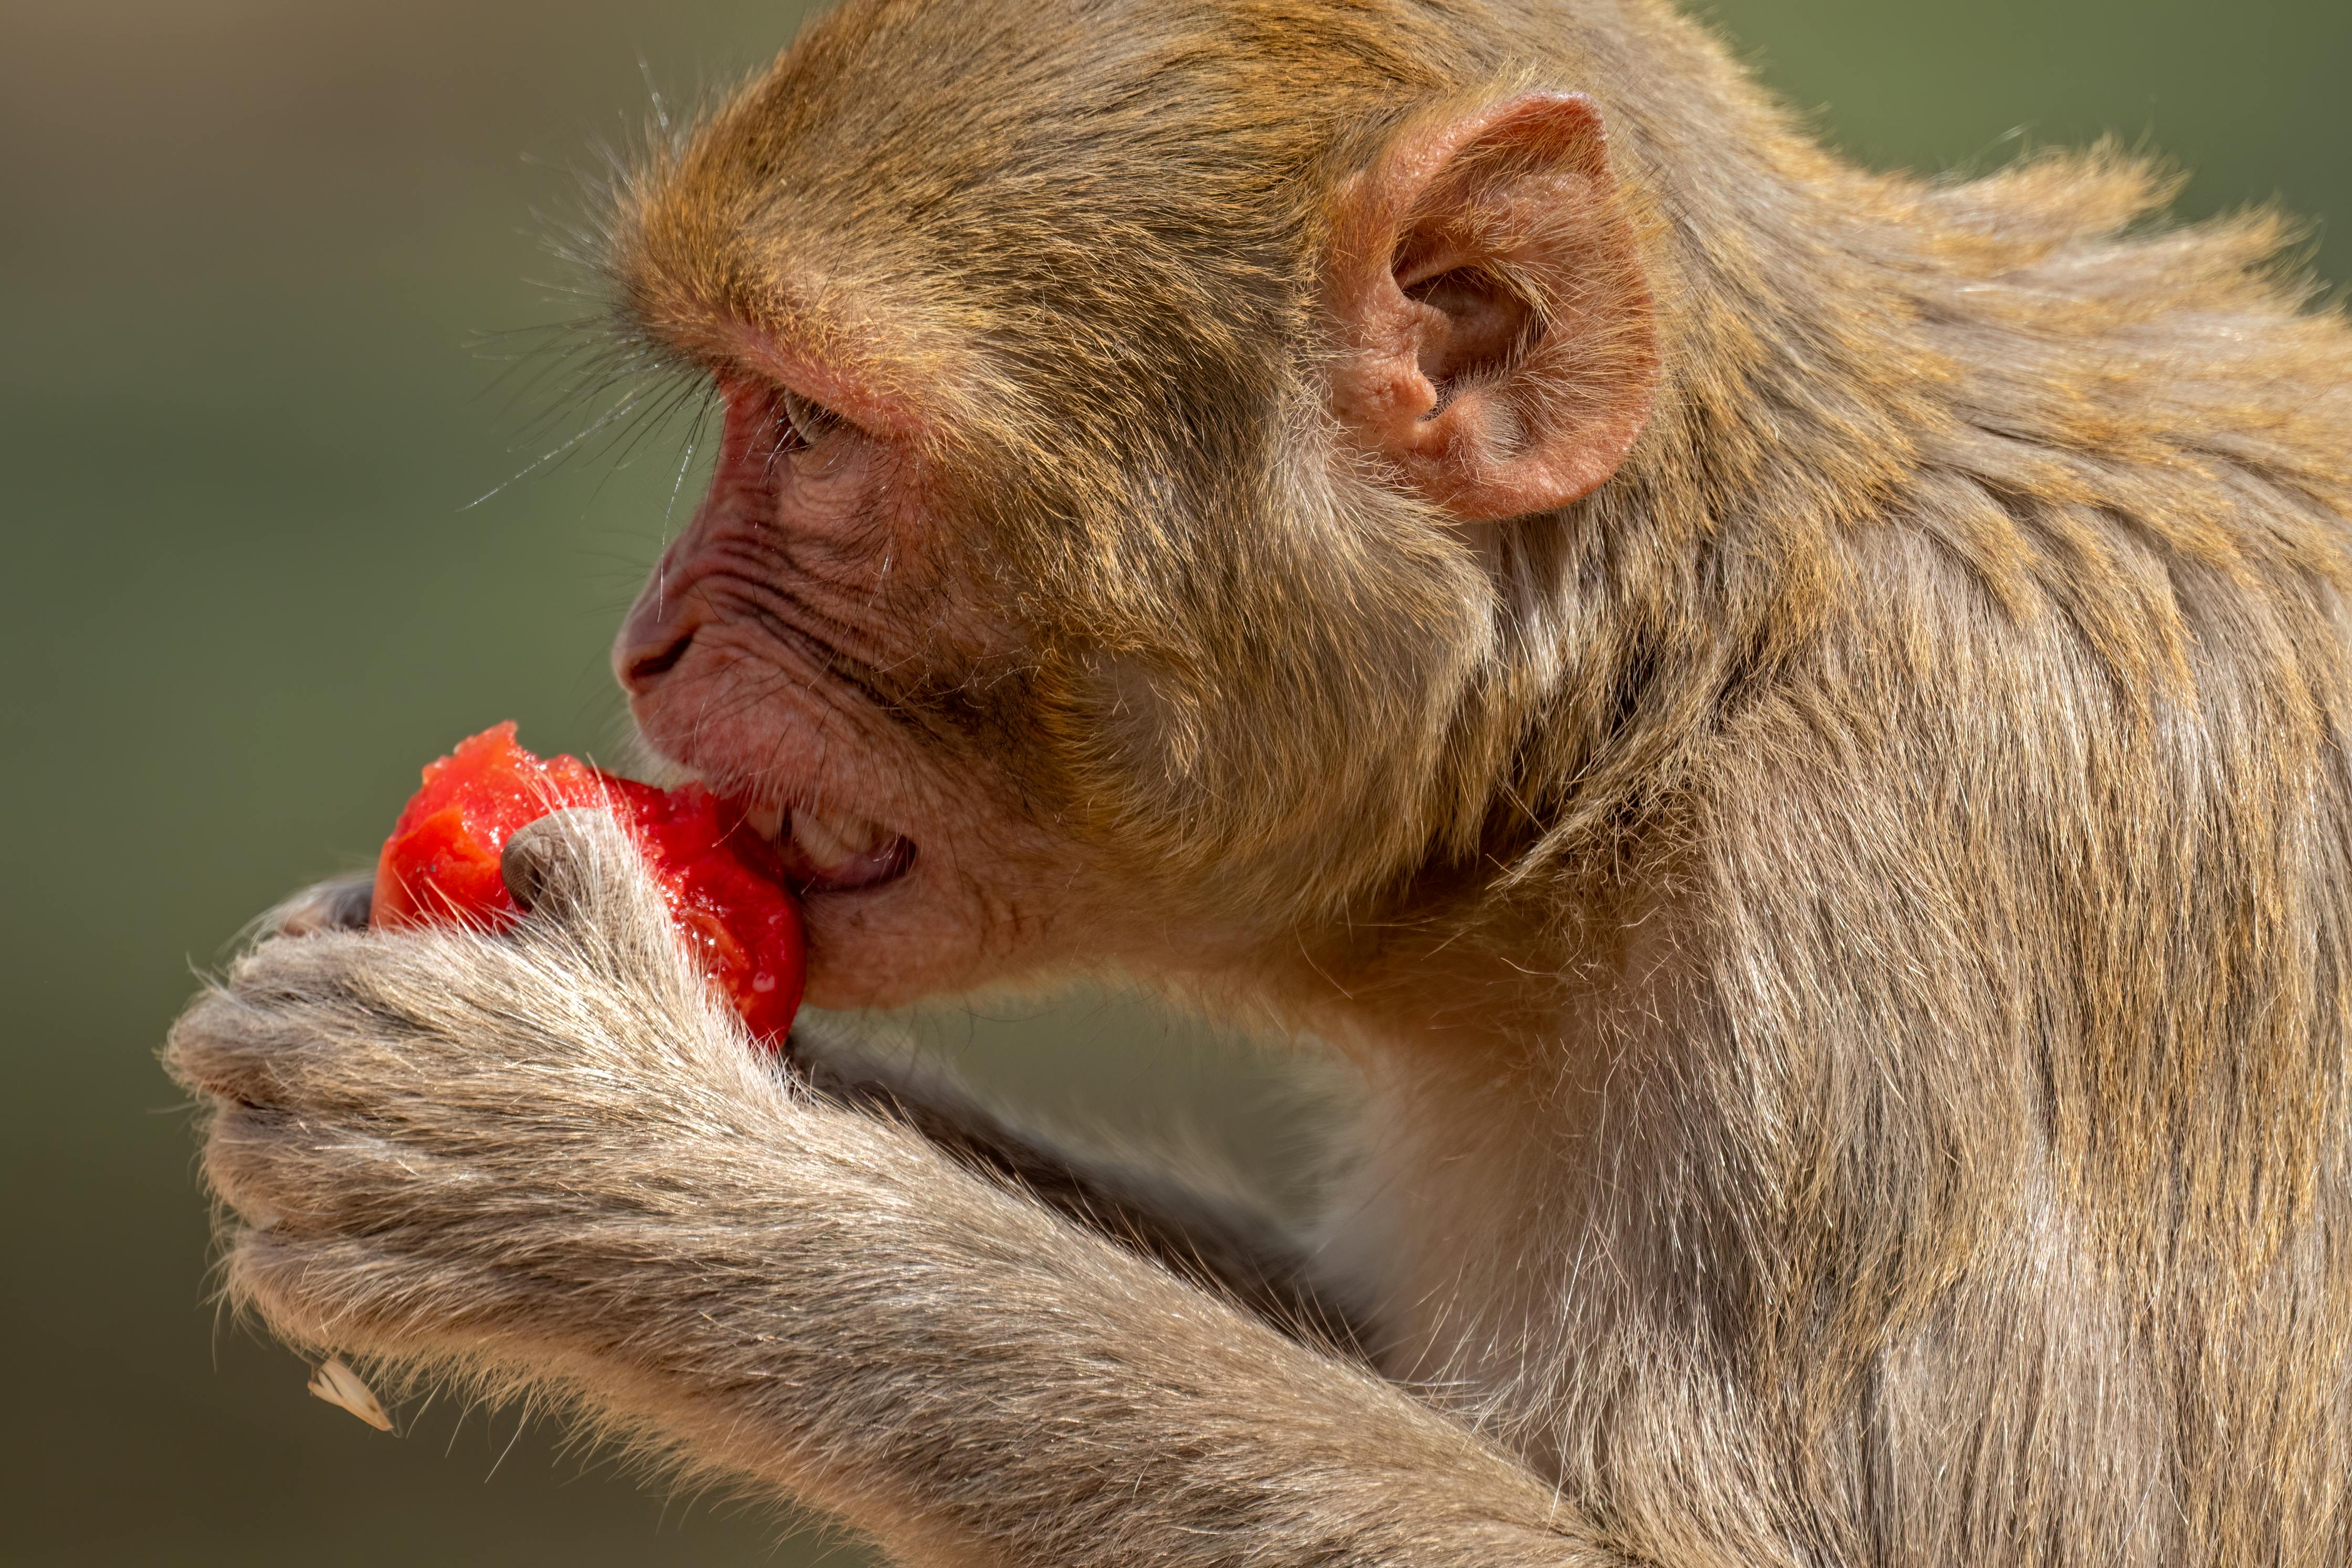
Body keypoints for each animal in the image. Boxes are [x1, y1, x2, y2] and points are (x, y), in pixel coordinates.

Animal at [163, 0, 2352, 1561]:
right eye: (735, 402)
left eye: (809, 427)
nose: (648, 642)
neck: (1680, 678)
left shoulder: (1924, 870)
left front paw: (598, 1146)